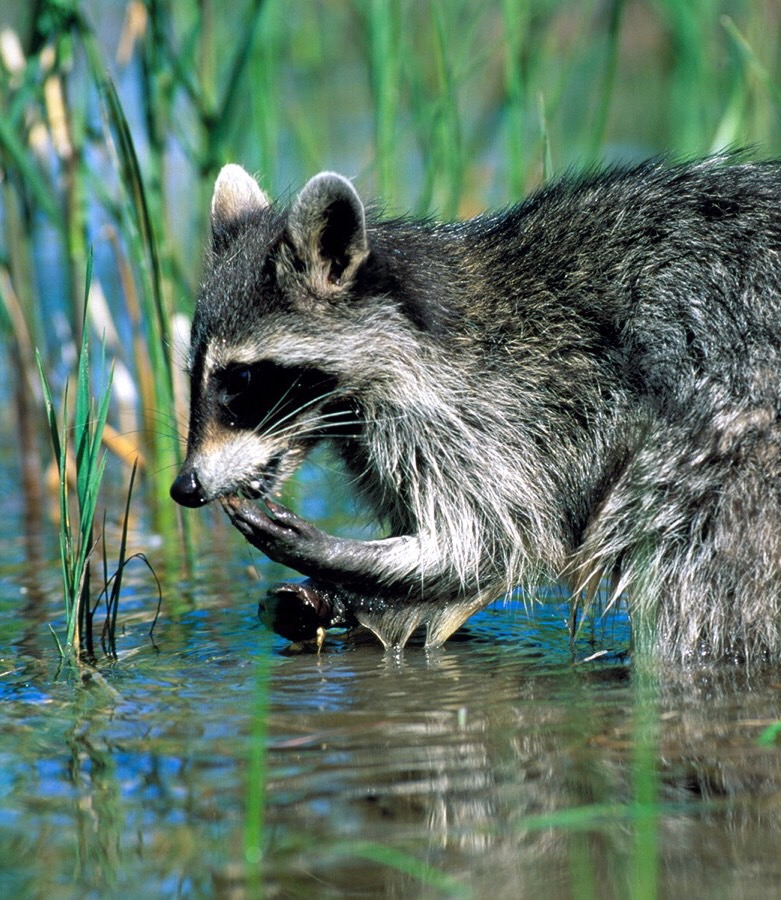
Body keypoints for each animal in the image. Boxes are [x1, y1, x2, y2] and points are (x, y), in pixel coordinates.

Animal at [171, 155, 781, 661]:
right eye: (192, 375)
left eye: (240, 379)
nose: (184, 487)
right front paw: (345, 598)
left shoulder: (514, 408)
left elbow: (494, 538)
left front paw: (343, 559)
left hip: (728, 446)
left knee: (688, 573)